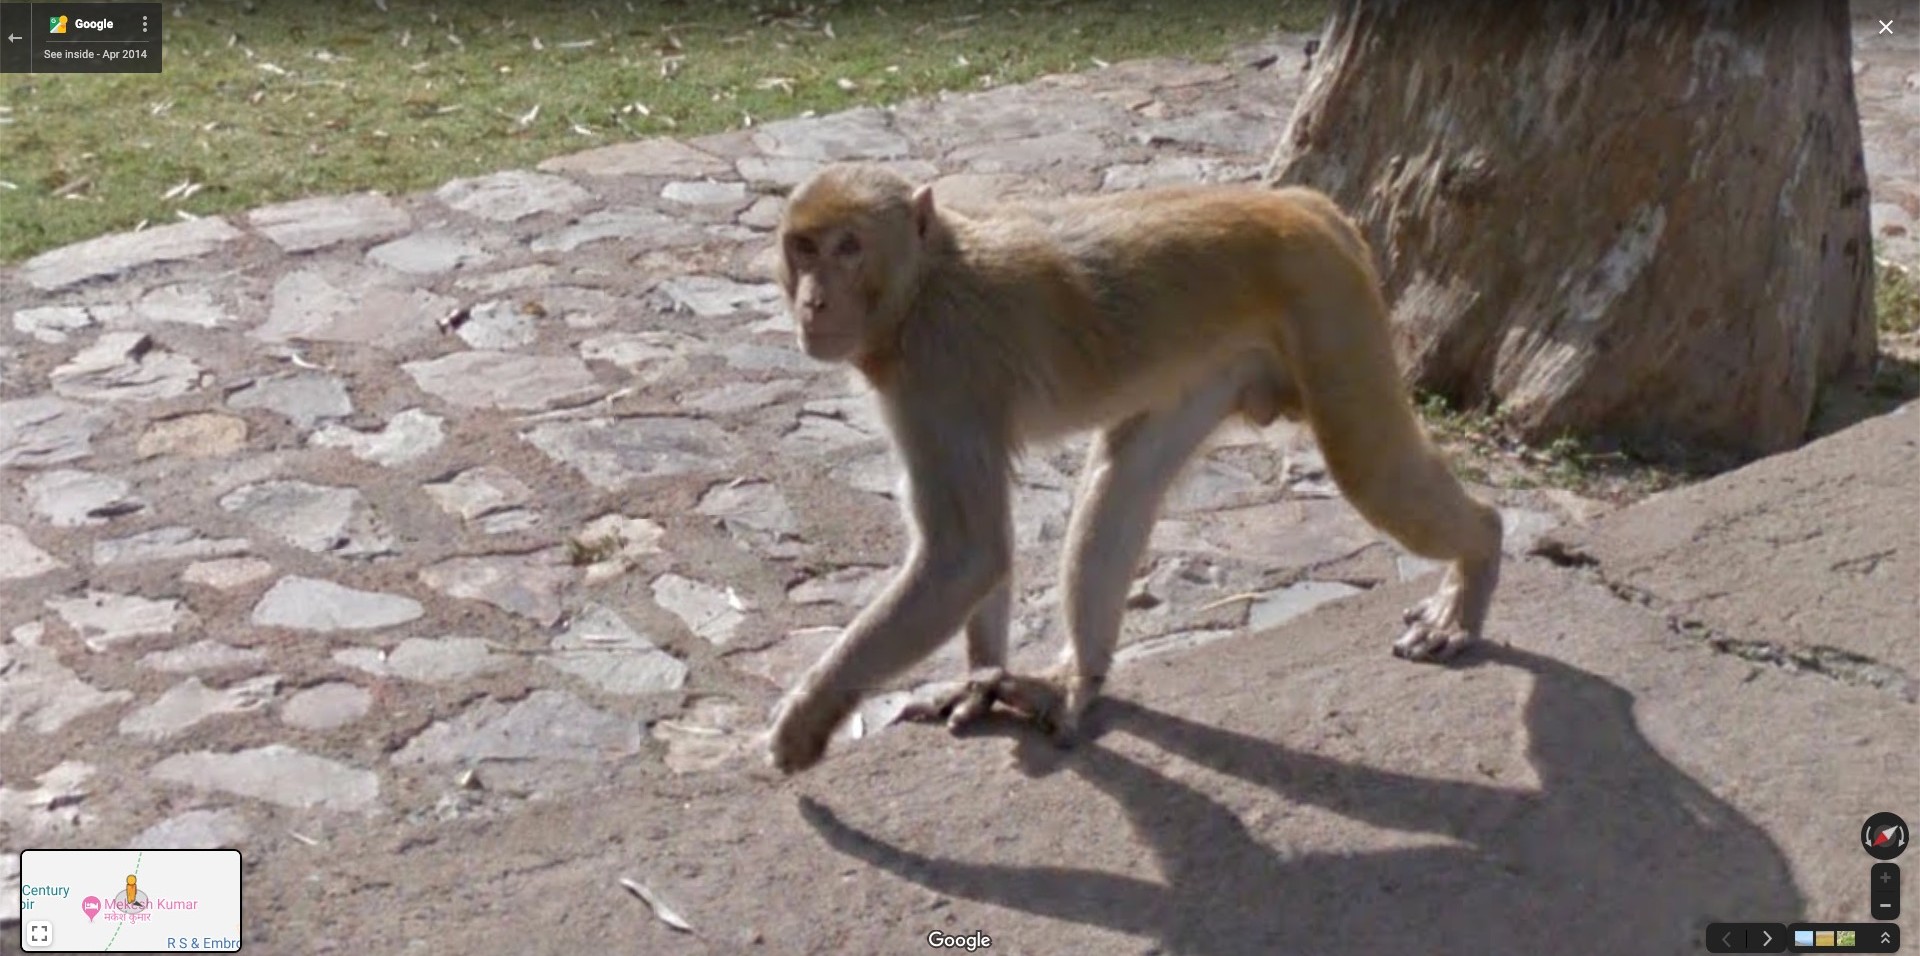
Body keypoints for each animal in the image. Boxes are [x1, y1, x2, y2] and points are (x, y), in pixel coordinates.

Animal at [762, 162, 1503, 774]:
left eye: (848, 247)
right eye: (803, 248)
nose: (814, 301)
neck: (926, 280)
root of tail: (1305, 204)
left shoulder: (939, 370)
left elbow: (966, 553)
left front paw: (804, 721)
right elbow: (982, 552)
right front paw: (980, 679)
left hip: (1330, 306)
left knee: (1371, 467)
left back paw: (1479, 560)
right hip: (1212, 365)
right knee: (1124, 476)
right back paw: (1076, 681)